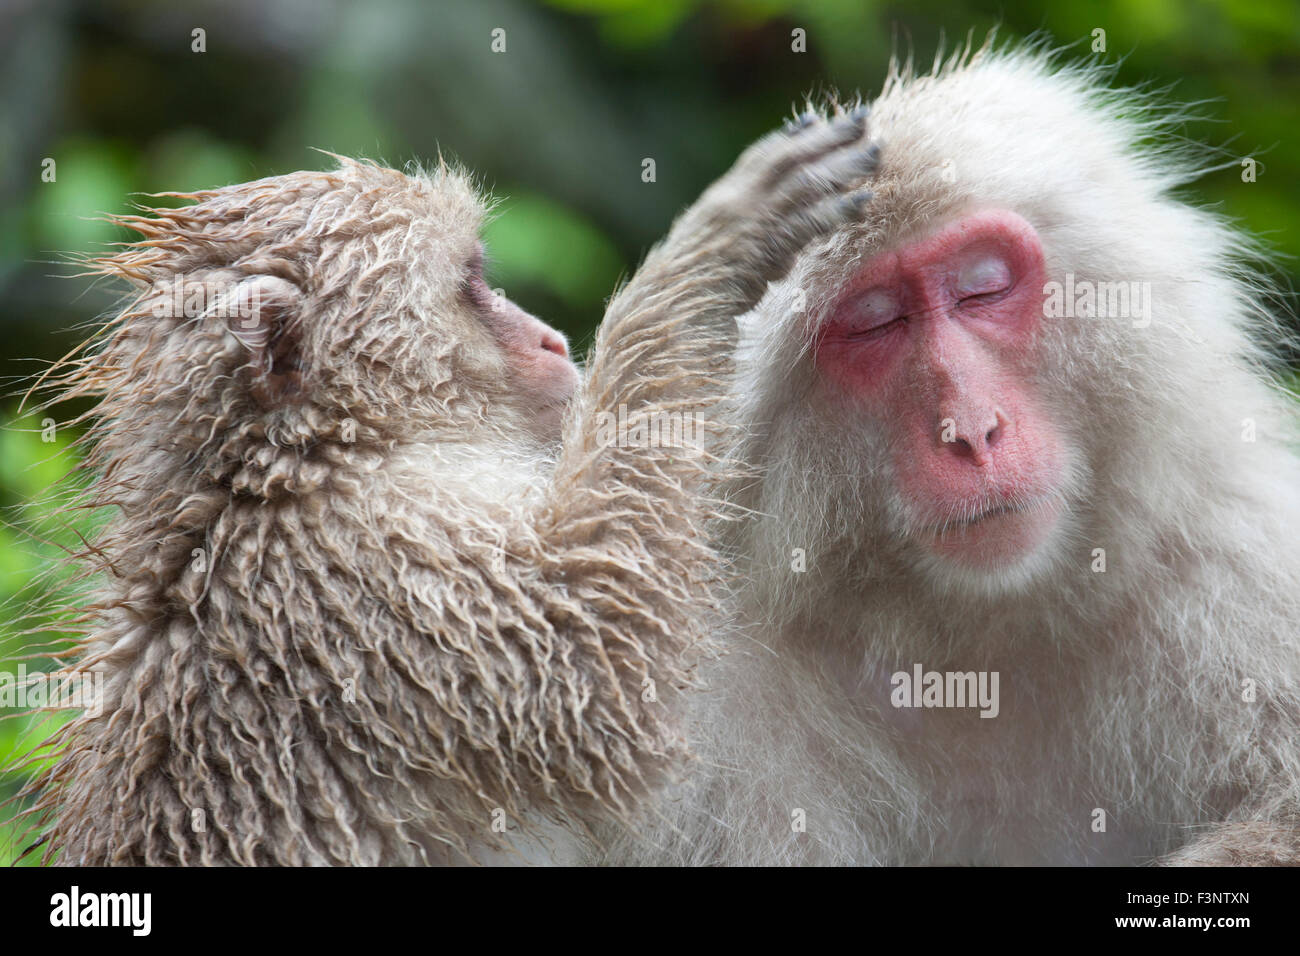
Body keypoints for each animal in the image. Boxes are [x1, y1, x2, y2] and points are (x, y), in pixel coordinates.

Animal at [9, 114, 881, 865]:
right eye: (472, 282)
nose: (550, 338)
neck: (284, 472)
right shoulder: (367, 577)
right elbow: (596, 648)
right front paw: (716, 246)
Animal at [592, 41, 1300, 866]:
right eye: (876, 322)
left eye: (982, 288)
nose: (971, 429)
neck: (978, 633)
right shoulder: (719, 705)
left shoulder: (1242, 565)